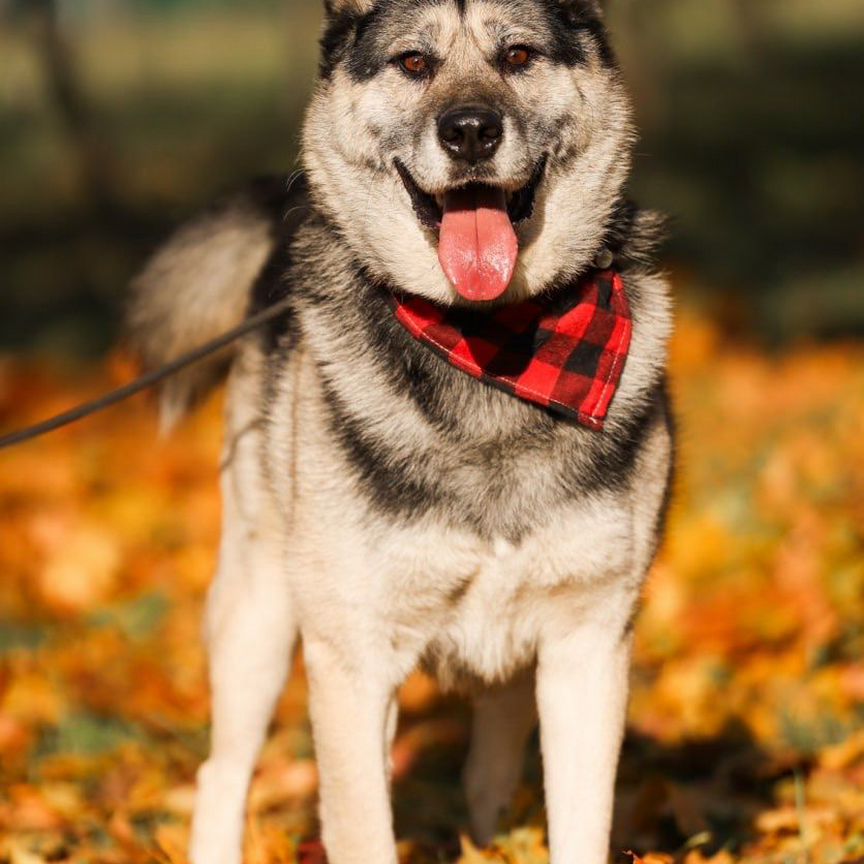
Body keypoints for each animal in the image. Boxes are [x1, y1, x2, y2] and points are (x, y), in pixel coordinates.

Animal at [128, 3, 676, 860]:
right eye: (414, 63)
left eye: (518, 56)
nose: (471, 132)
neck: (489, 346)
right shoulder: (353, 663)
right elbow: (361, 828)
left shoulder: (587, 648)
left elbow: (576, 823)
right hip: (261, 615)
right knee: (223, 773)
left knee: (487, 772)